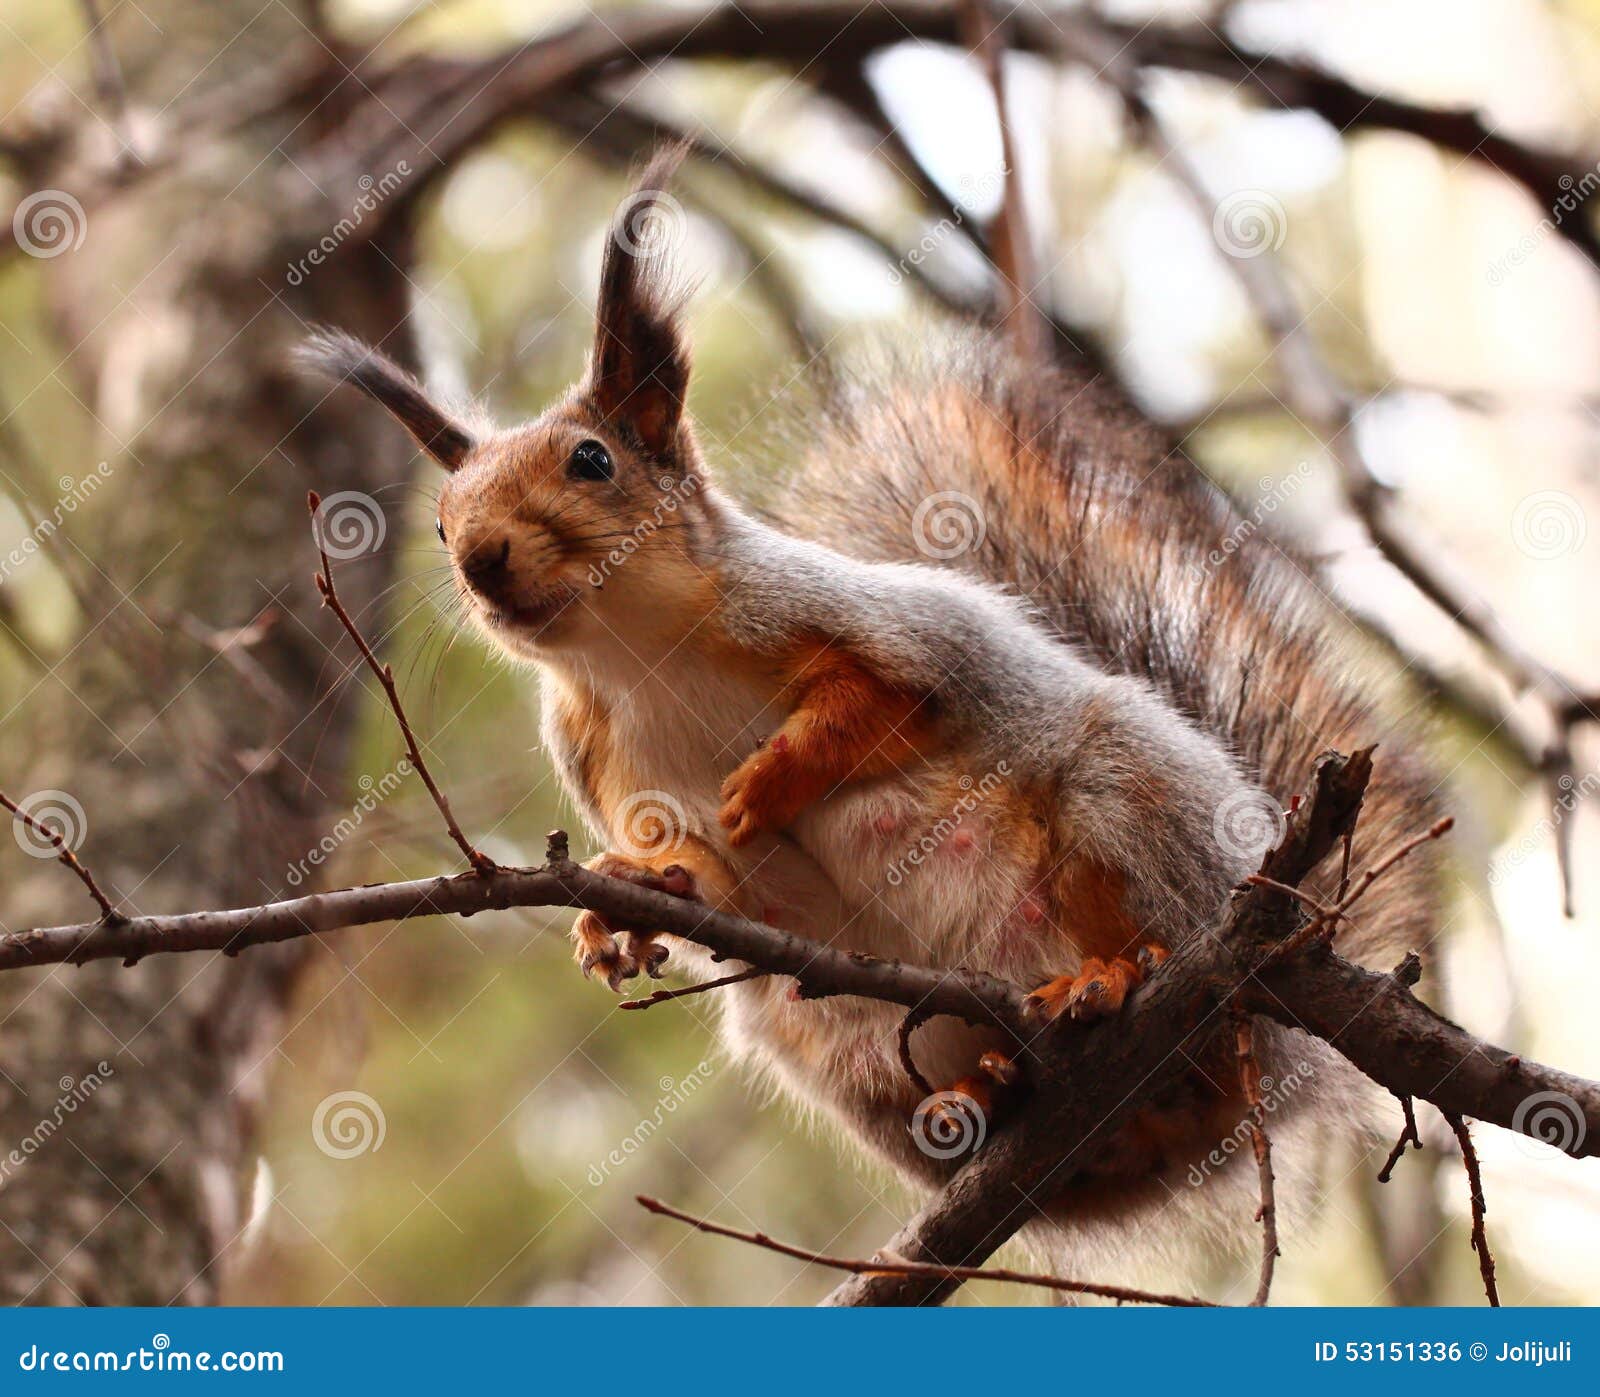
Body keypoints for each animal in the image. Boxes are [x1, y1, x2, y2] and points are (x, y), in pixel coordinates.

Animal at [304, 150, 1446, 1283]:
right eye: (440, 518)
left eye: (592, 459)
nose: (477, 558)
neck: (636, 650)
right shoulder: (610, 765)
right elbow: (731, 881)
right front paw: (633, 897)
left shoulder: (876, 635)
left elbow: (882, 707)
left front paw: (773, 776)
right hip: (839, 1041)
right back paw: (997, 1093)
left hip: (1131, 812)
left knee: (1159, 958)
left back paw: (1109, 979)